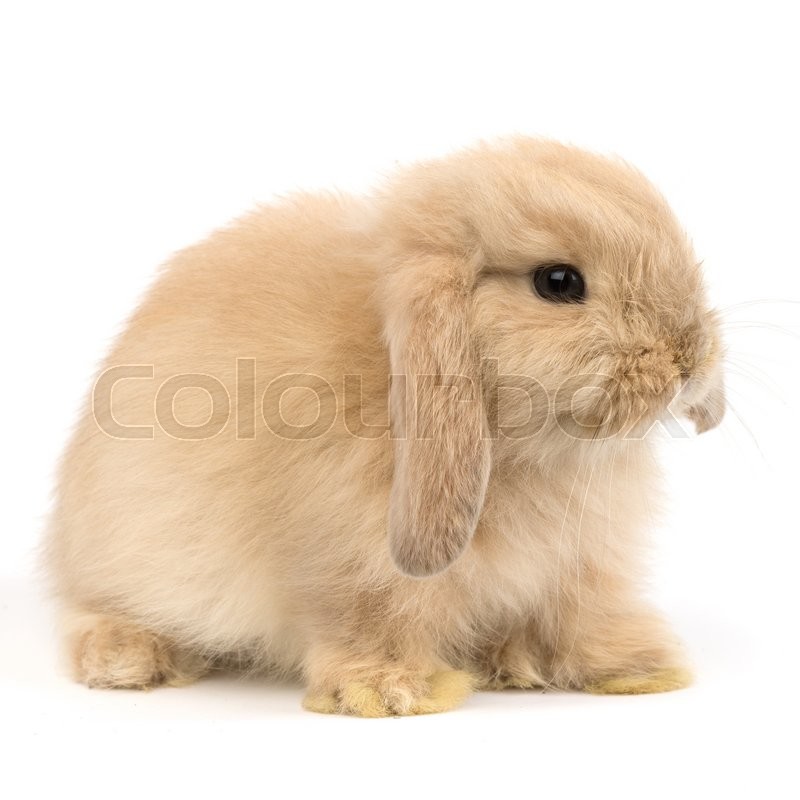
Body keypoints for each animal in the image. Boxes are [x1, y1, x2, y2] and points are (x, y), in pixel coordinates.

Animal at [45, 137, 725, 716]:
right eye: (558, 282)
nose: (687, 358)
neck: (533, 451)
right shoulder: (351, 565)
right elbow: (371, 621)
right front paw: (391, 692)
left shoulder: (579, 567)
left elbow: (579, 622)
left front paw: (639, 670)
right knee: (88, 609)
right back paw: (128, 658)